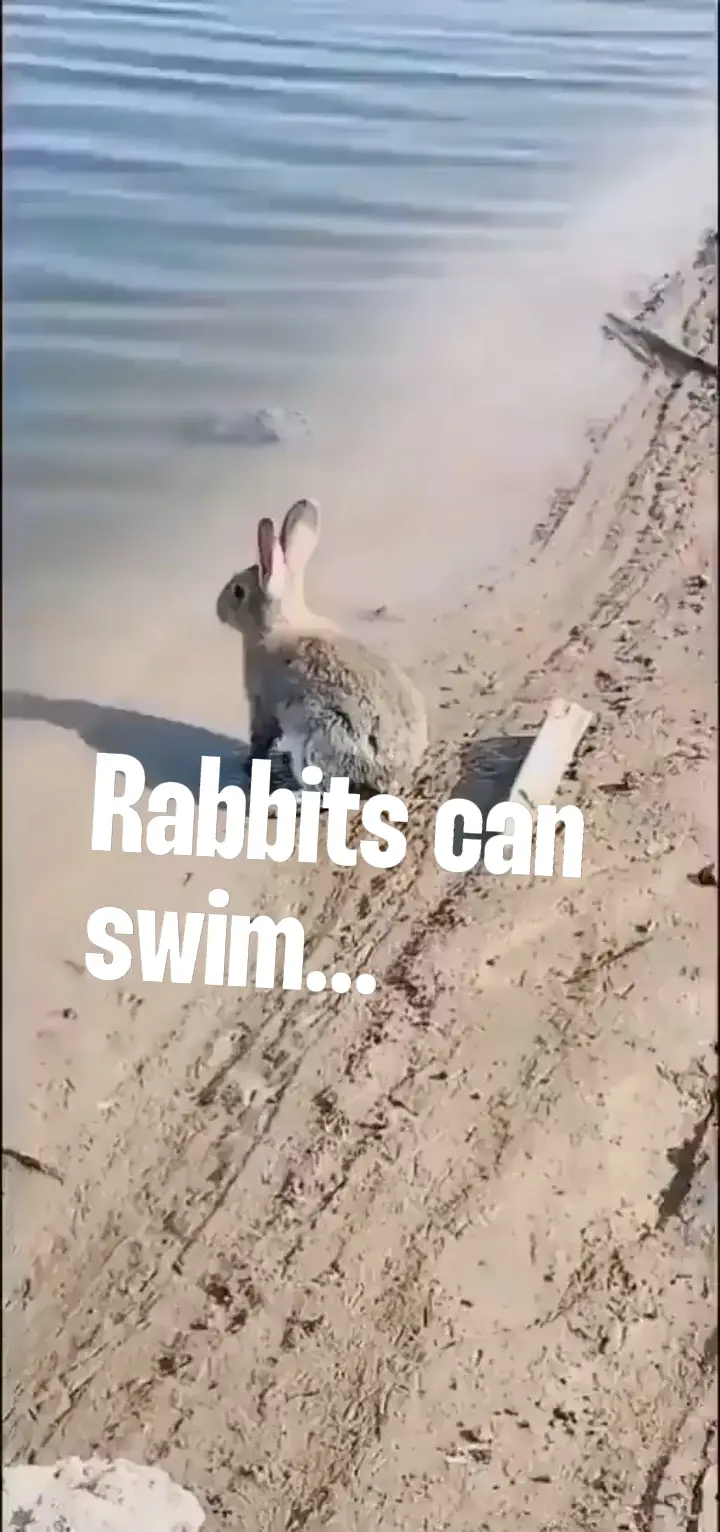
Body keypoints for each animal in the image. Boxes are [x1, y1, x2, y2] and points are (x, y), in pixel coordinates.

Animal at [216, 498, 428, 799]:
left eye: (238, 592)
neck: (281, 623)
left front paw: (247, 764)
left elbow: (260, 737)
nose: (218, 609)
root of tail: (391, 777)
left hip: (320, 740)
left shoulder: (261, 702)